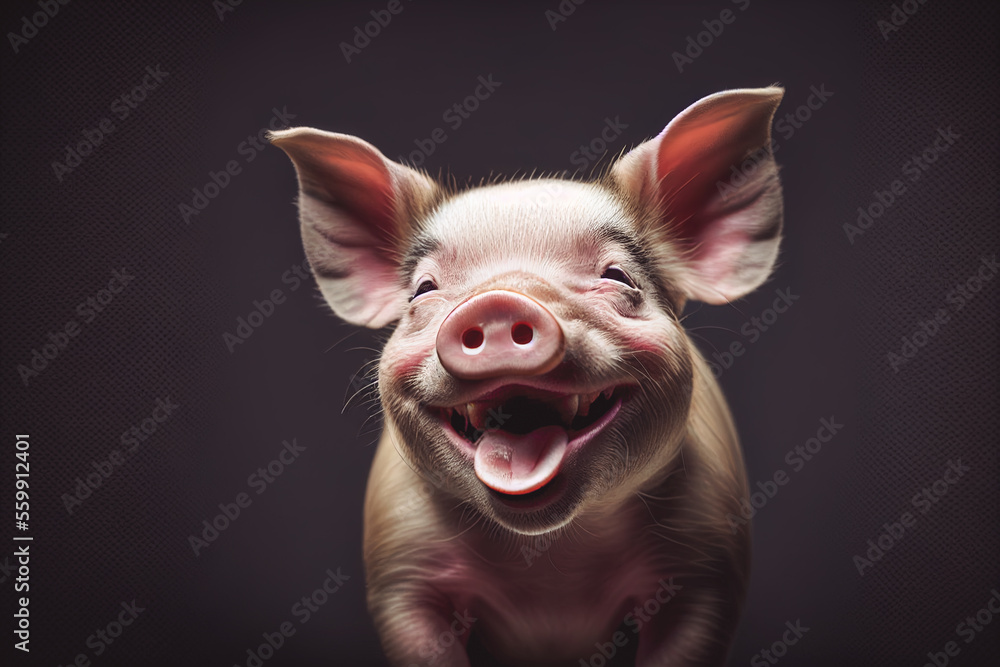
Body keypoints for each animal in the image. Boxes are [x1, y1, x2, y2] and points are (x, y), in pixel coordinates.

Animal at [270, 85, 785, 666]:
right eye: (424, 289)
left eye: (617, 276)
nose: (498, 300)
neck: (549, 569)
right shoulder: (400, 578)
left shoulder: (707, 569)